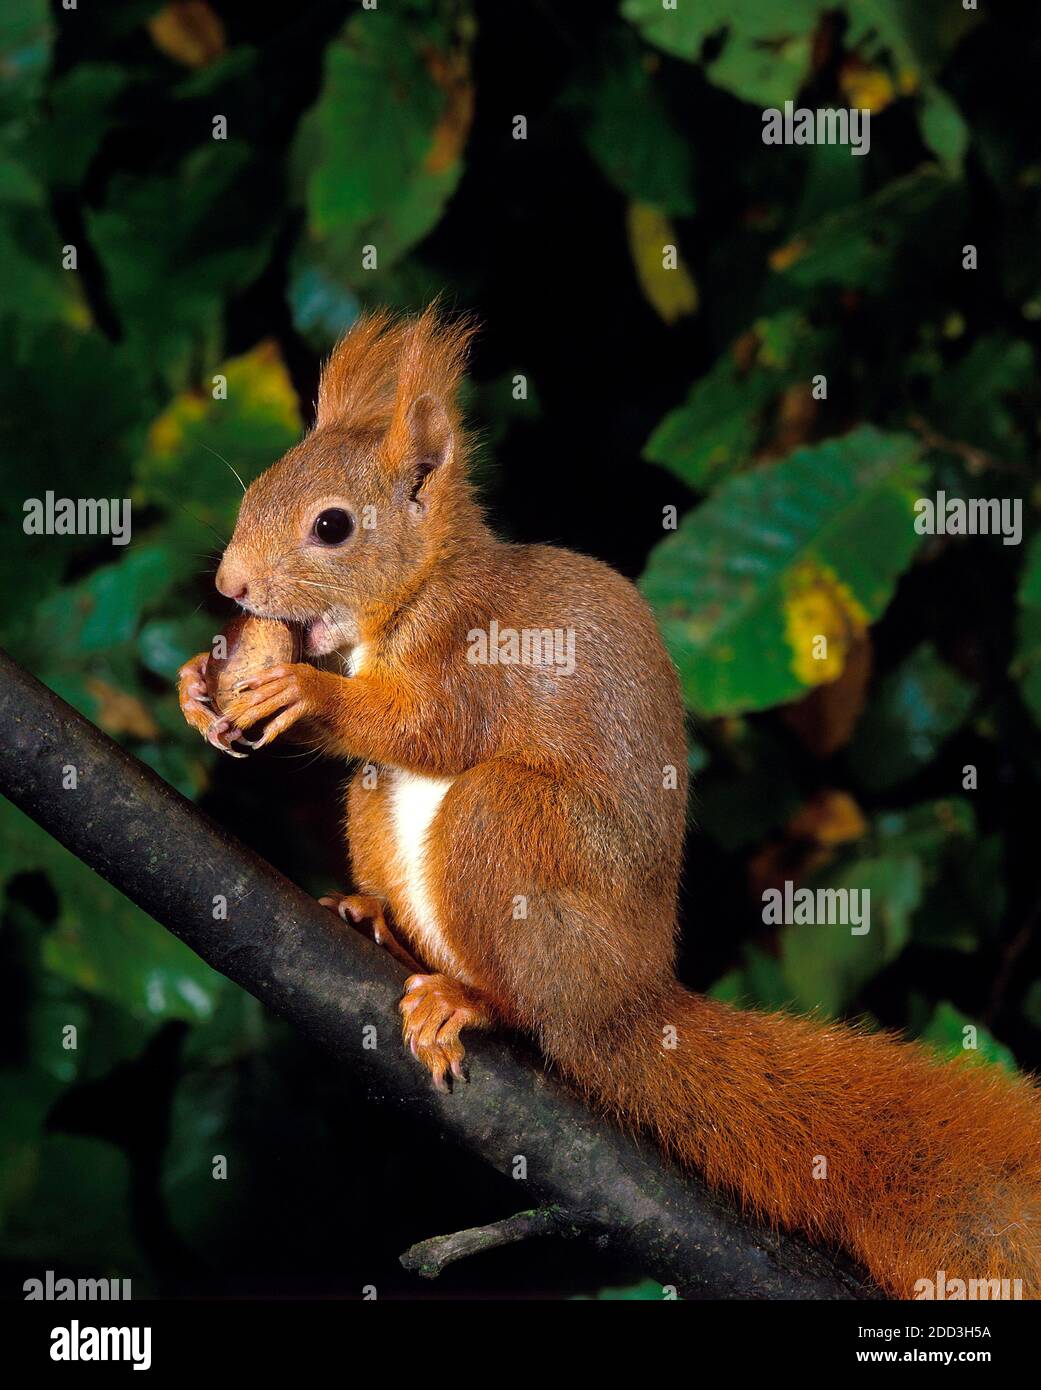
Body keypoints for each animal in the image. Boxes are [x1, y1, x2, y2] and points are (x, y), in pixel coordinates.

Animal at [178, 305, 1041, 1299]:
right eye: (258, 489)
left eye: (332, 526)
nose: (231, 587)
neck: (419, 590)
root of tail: (630, 1000)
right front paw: (195, 685)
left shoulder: (477, 655)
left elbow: (430, 730)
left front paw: (305, 693)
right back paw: (377, 920)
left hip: (518, 835)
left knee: (526, 975)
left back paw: (471, 1000)